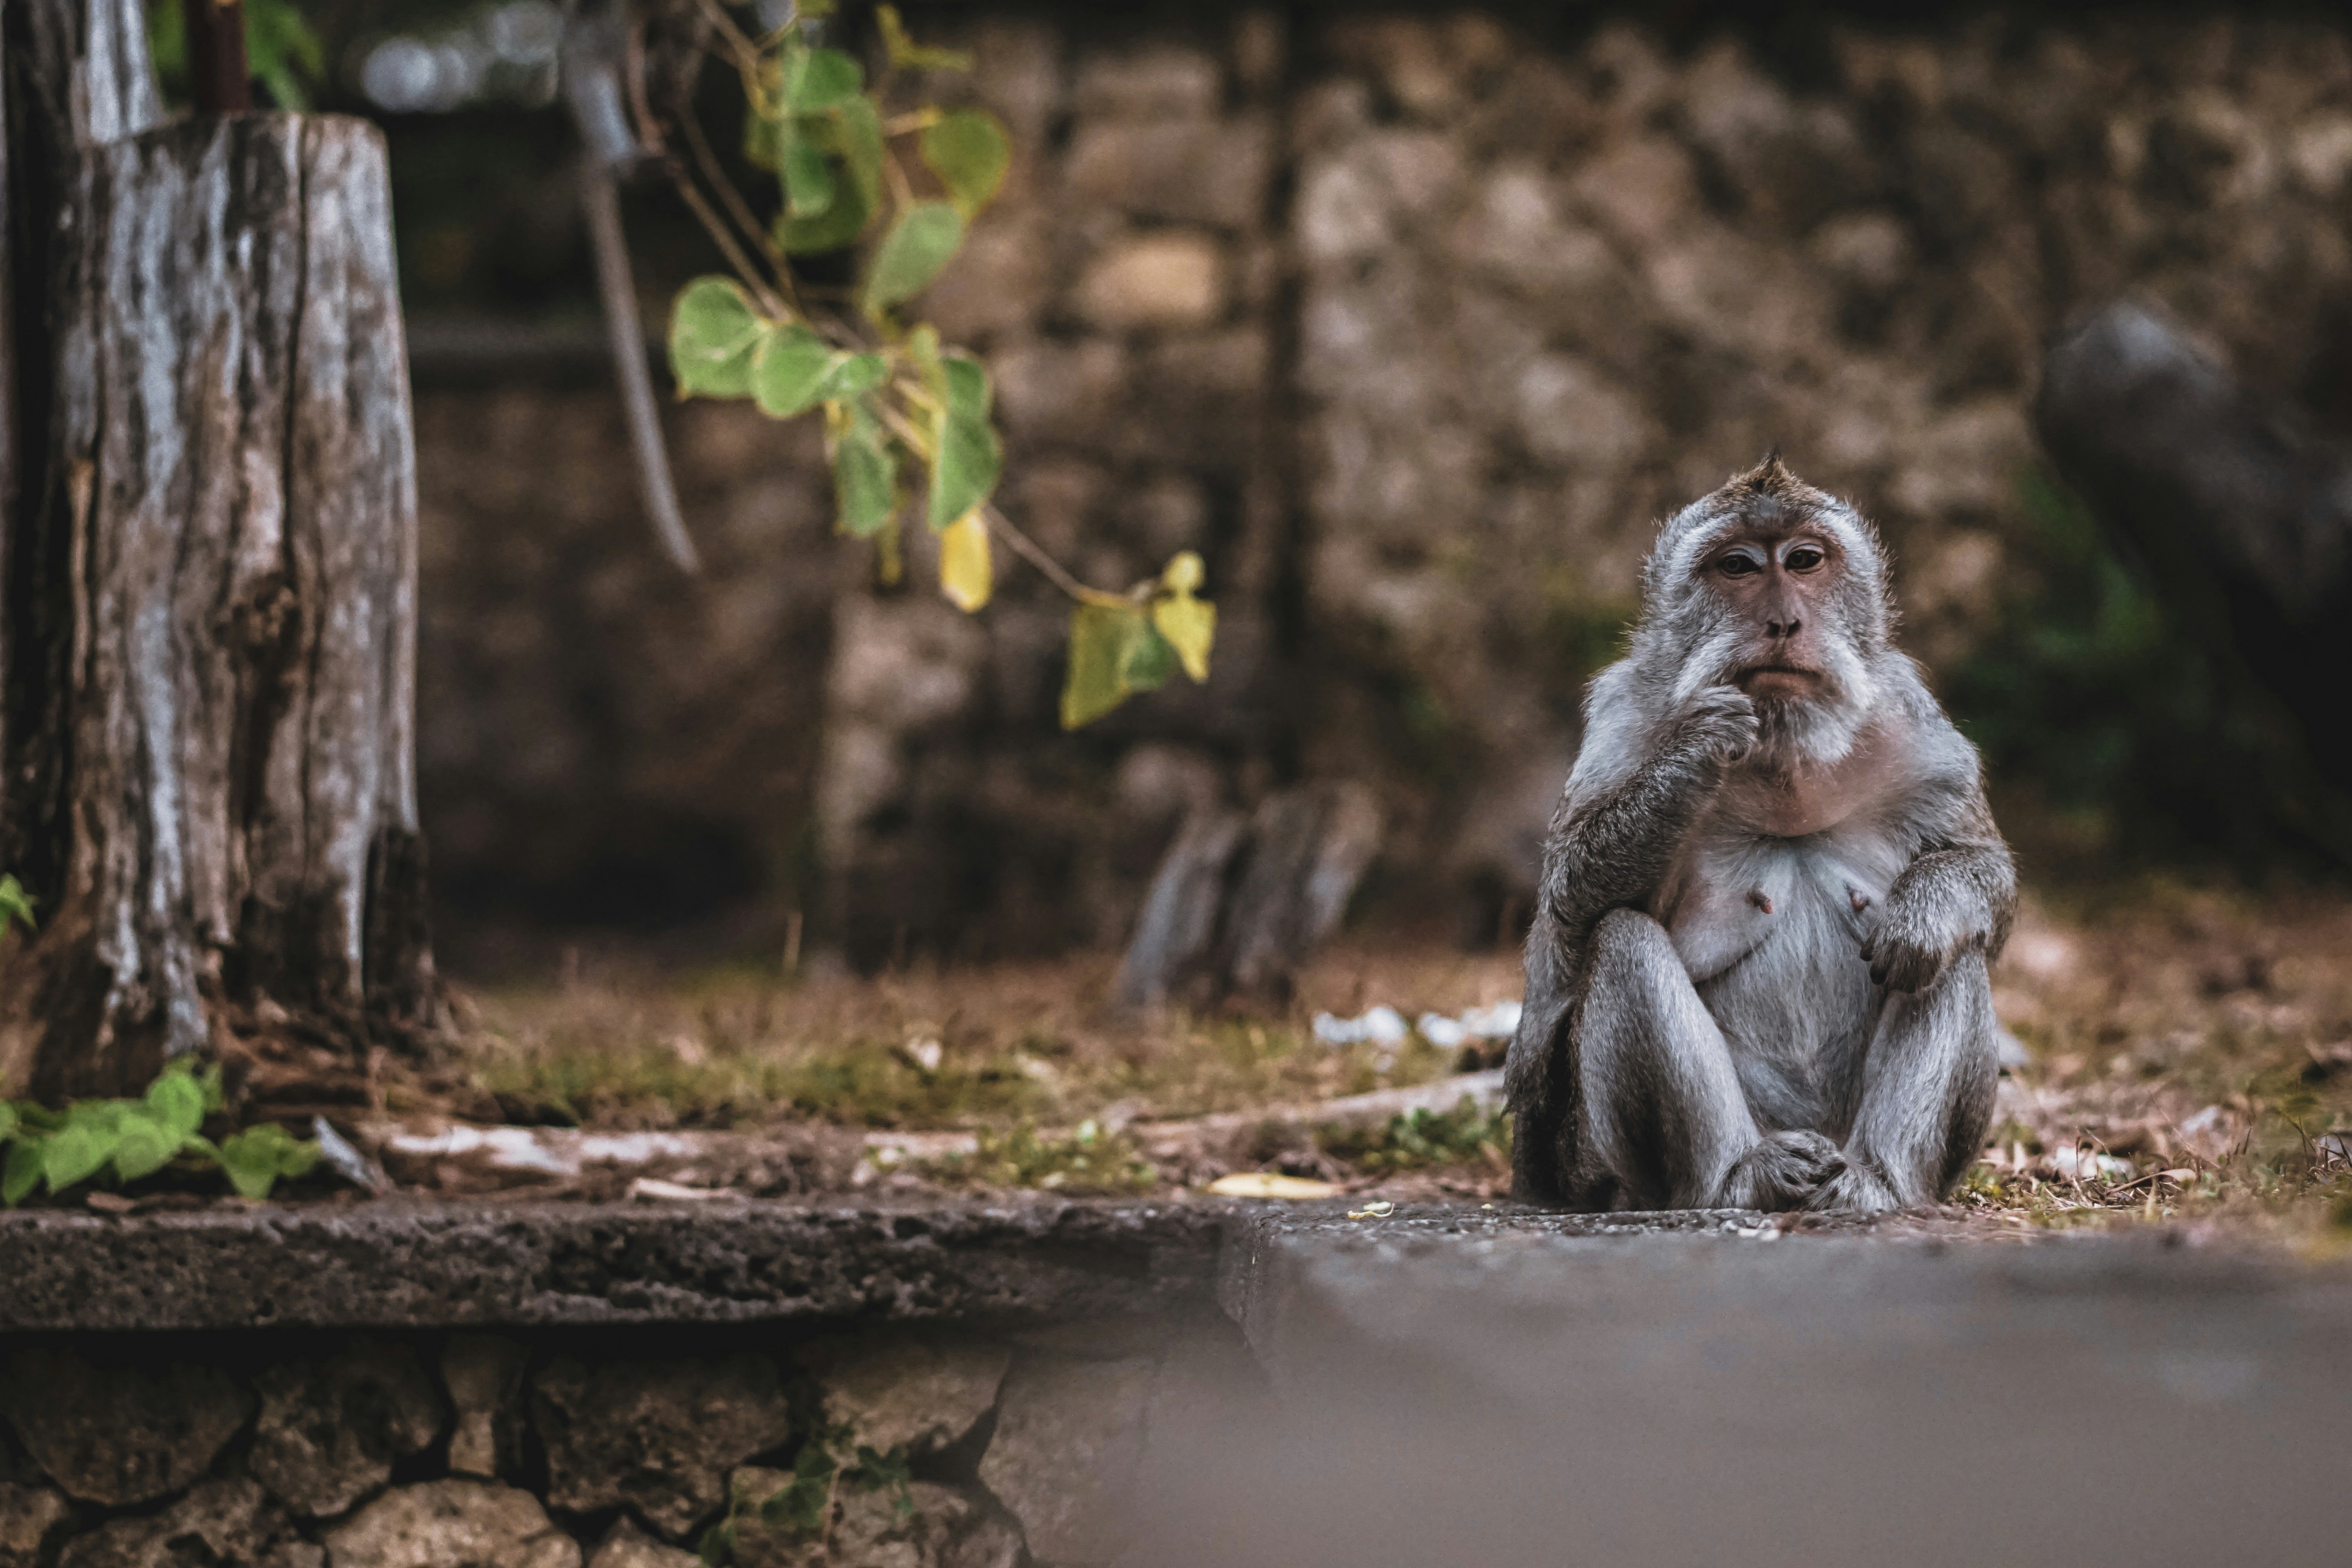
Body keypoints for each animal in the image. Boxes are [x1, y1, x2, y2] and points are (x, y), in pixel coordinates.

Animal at [1504, 456, 2014, 1214]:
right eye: (1739, 567)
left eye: (1804, 561)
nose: (1783, 620)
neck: (1782, 761)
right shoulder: (1622, 722)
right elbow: (1568, 905)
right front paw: (1698, 749)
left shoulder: (1916, 729)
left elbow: (1985, 880)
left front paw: (1923, 914)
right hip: (1592, 1165)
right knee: (1622, 941)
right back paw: (1738, 1175)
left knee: (1955, 952)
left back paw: (1878, 1179)